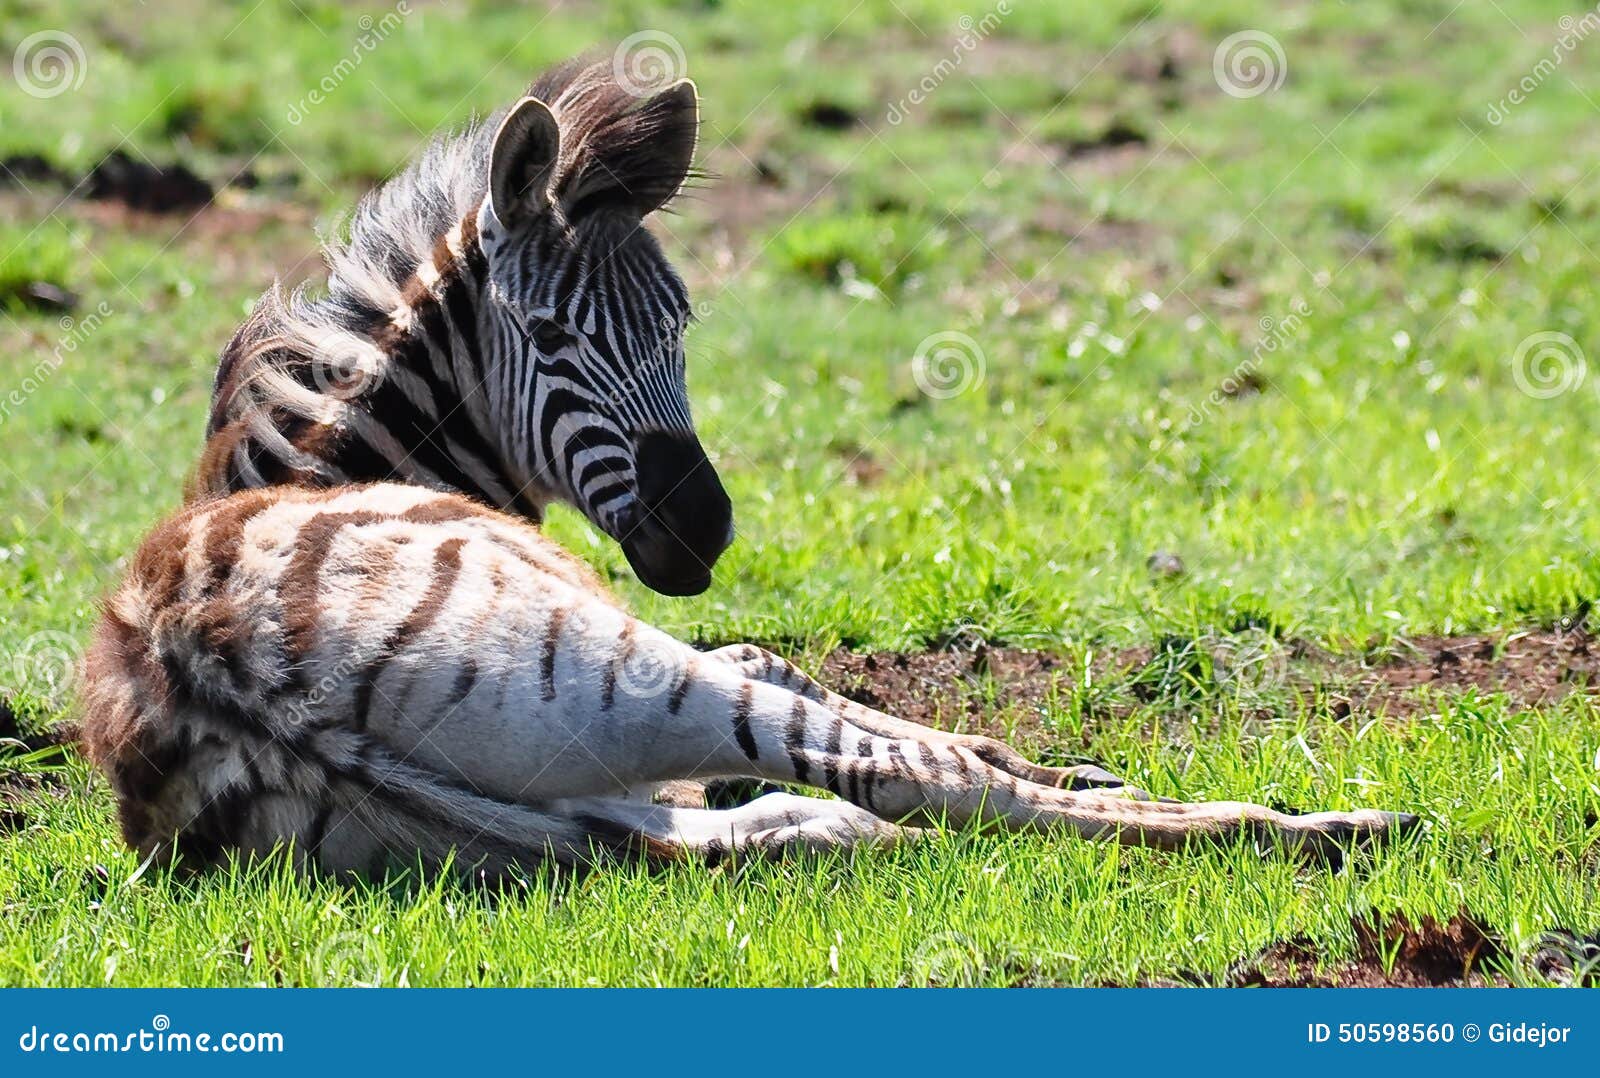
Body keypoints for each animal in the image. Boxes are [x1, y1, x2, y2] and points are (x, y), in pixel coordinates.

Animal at [79, 482, 1415, 877]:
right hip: (616, 672)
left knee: (777, 818)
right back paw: (1322, 827)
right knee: (904, 780)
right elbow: (845, 700)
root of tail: (201, 657)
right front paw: (1069, 764)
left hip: (553, 769)